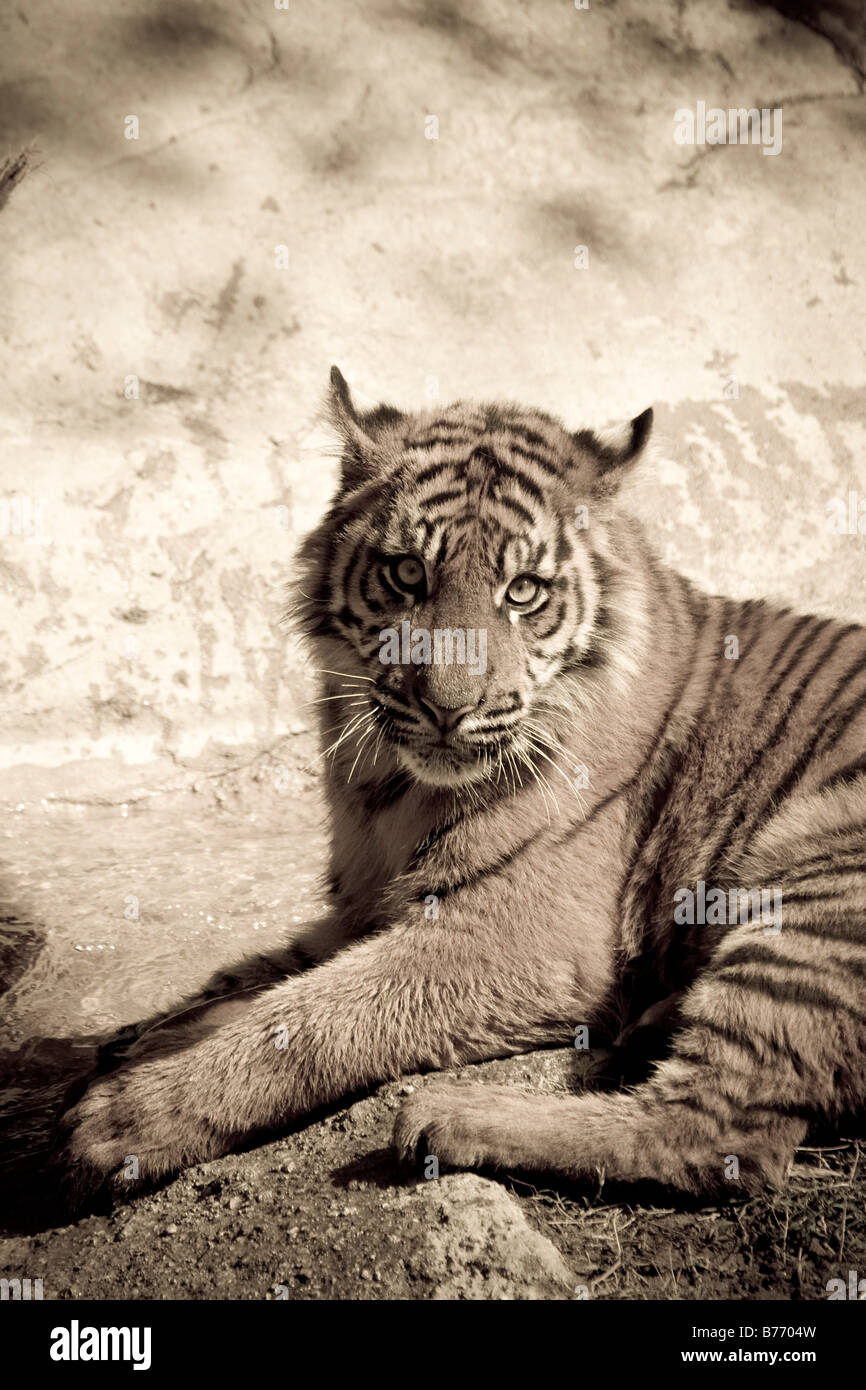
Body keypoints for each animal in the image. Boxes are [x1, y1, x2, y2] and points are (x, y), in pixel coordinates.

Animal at [57, 366, 866, 1205]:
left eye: (524, 591)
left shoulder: (519, 932)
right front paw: (140, 1038)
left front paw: (129, 1115)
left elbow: (312, 1014)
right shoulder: (360, 905)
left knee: (722, 1135)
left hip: (816, 879)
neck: (388, 789)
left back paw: (448, 1119)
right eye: (408, 573)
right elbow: (256, 971)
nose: (449, 707)